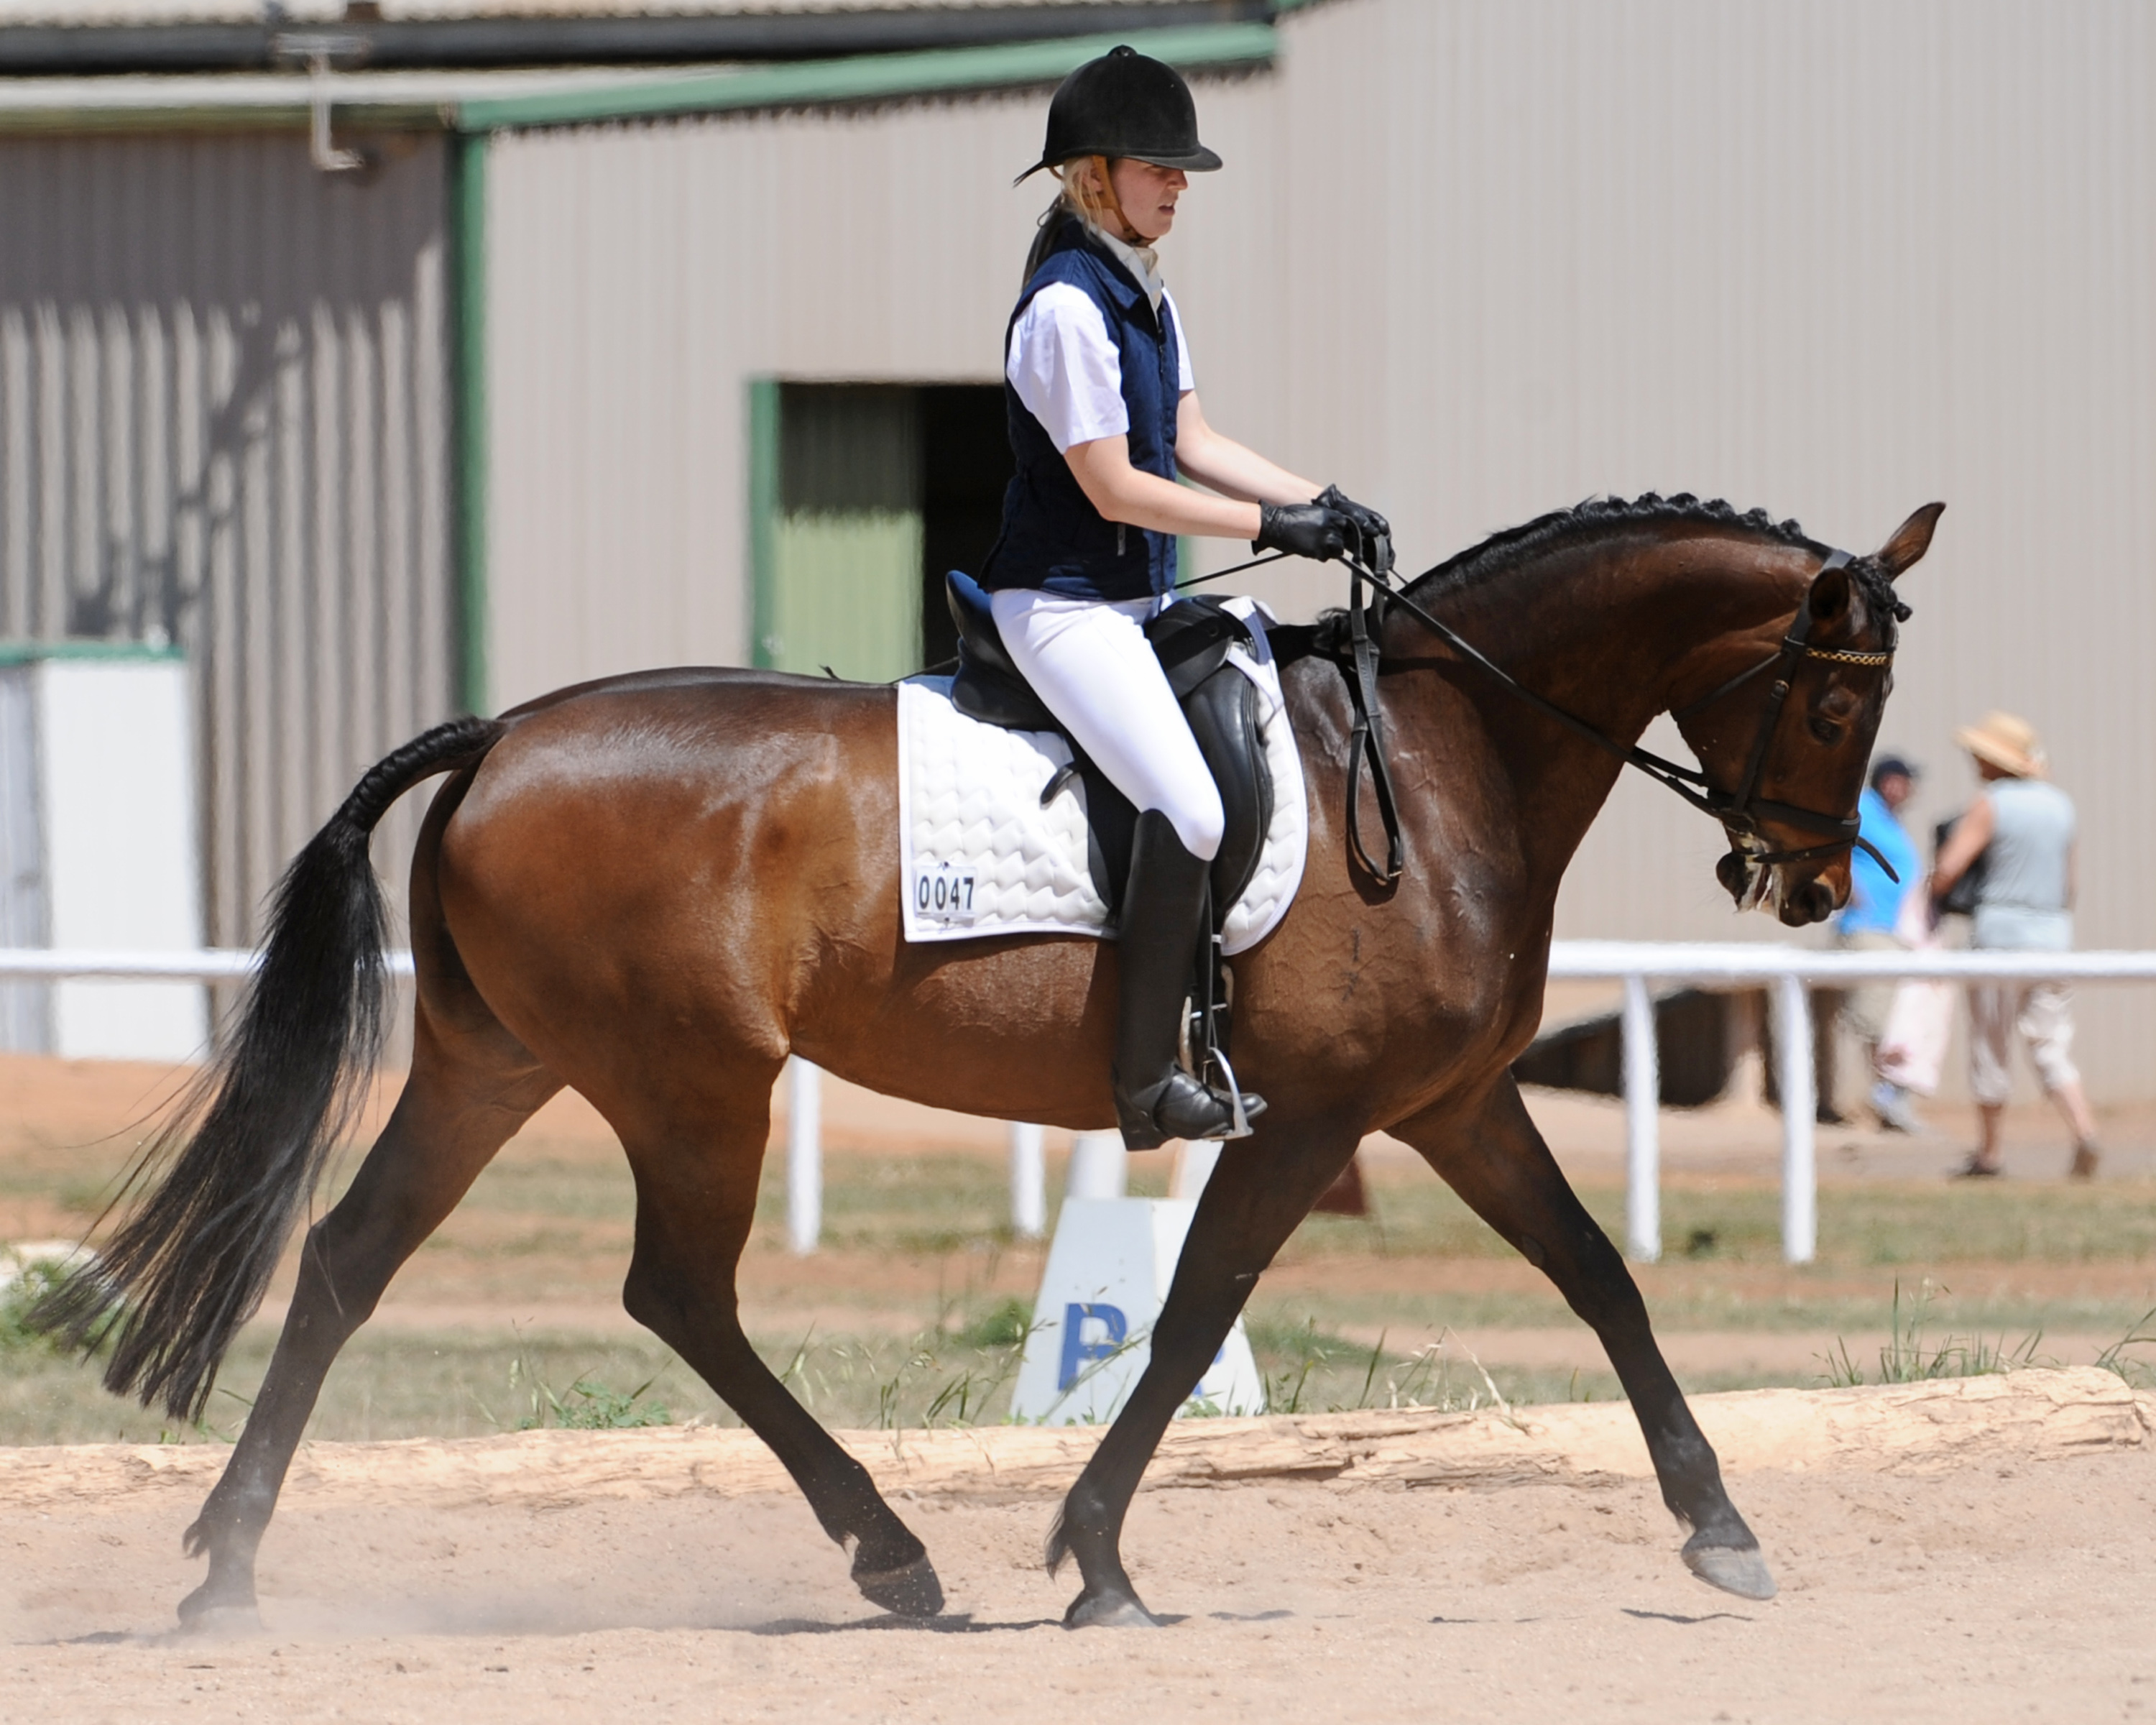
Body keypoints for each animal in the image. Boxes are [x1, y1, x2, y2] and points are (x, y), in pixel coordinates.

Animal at [41, 491, 1939, 1631]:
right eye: (1838, 700)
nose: (1808, 885)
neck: (1443, 747)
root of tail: (505, 732)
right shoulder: (1312, 1117)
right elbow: (1186, 1318)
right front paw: (1094, 1560)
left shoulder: (1451, 1106)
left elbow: (1603, 1279)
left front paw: (1719, 1528)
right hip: (691, 1082)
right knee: (678, 1292)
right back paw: (889, 1551)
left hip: (491, 1063)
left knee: (349, 1258)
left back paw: (227, 1569)